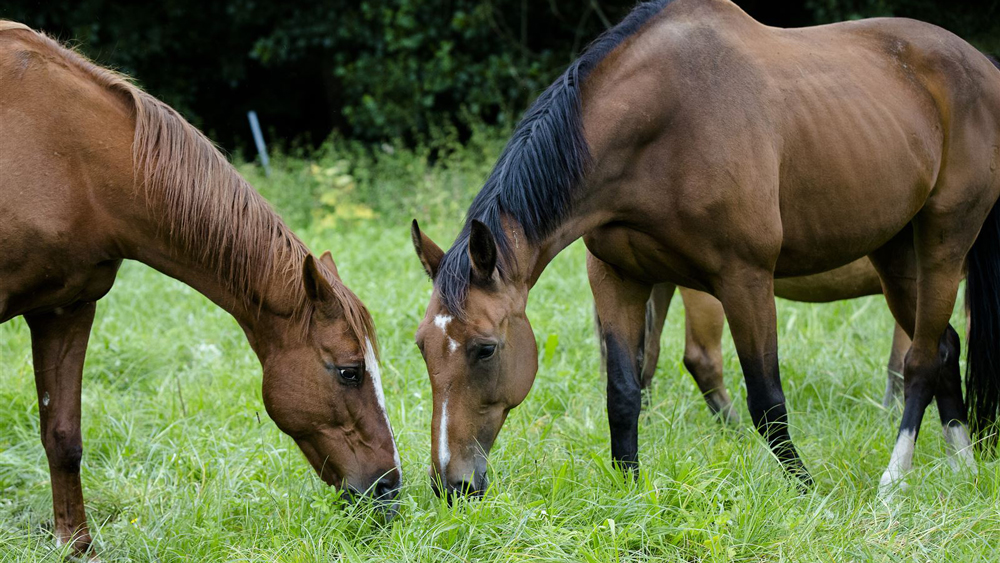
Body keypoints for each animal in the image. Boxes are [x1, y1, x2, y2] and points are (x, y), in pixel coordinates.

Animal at [0, 22, 400, 555]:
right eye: (349, 372)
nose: (389, 488)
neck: (68, 156)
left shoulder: (66, 310)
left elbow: (63, 437)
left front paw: (77, 548)